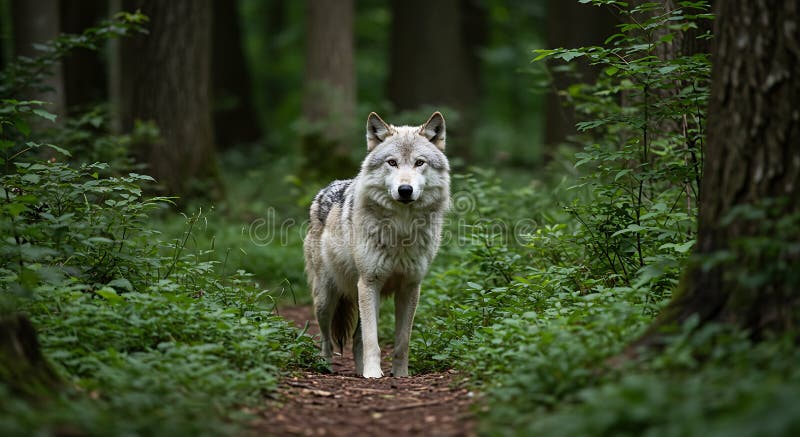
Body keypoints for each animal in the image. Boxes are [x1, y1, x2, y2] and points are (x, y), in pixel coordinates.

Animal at [303, 112, 450, 378]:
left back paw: (359, 370)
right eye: (392, 162)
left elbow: (402, 341)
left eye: (419, 163)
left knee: (356, 339)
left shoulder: (410, 287)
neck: (401, 229)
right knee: (326, 339)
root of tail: (324, 190)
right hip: (326, 299)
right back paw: (326, 367)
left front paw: (400, 374)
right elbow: (373, 340)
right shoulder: (370, 282)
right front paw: (373, 374)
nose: (405, 190)